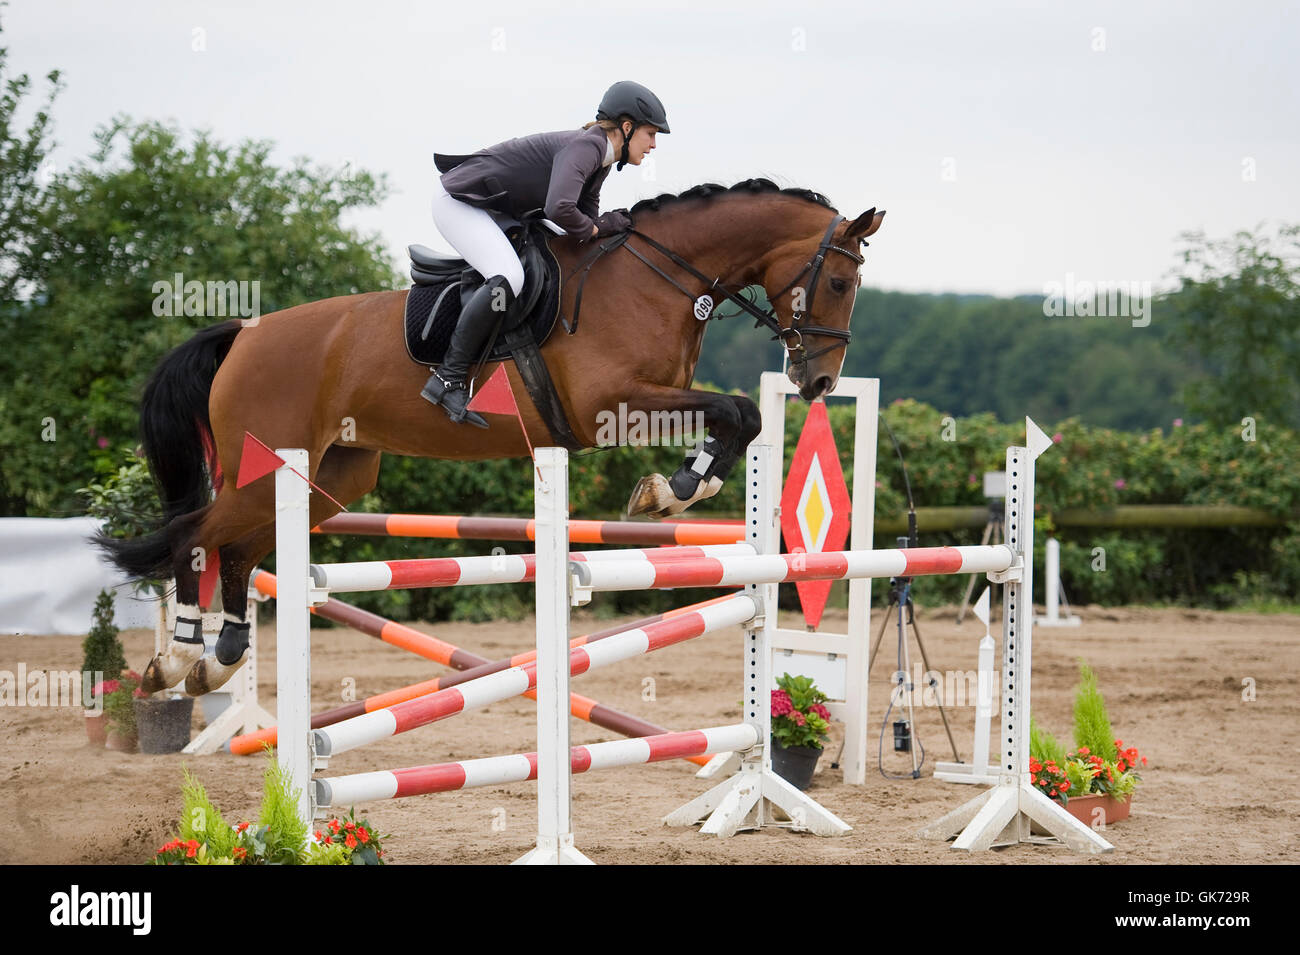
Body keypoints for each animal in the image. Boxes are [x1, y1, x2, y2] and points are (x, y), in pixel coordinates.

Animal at [100, 178, 884, 695]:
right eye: (840, 282)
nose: (818, 381)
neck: (658, 276)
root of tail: (242, 333)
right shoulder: (610, 404)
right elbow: (737, 409)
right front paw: (671, 490)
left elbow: (740, 418)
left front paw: (674, 489)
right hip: (263, 467)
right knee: (196, 534)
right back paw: (178, 659)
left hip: (330, 478)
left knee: (236, 546)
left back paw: (220, 658)